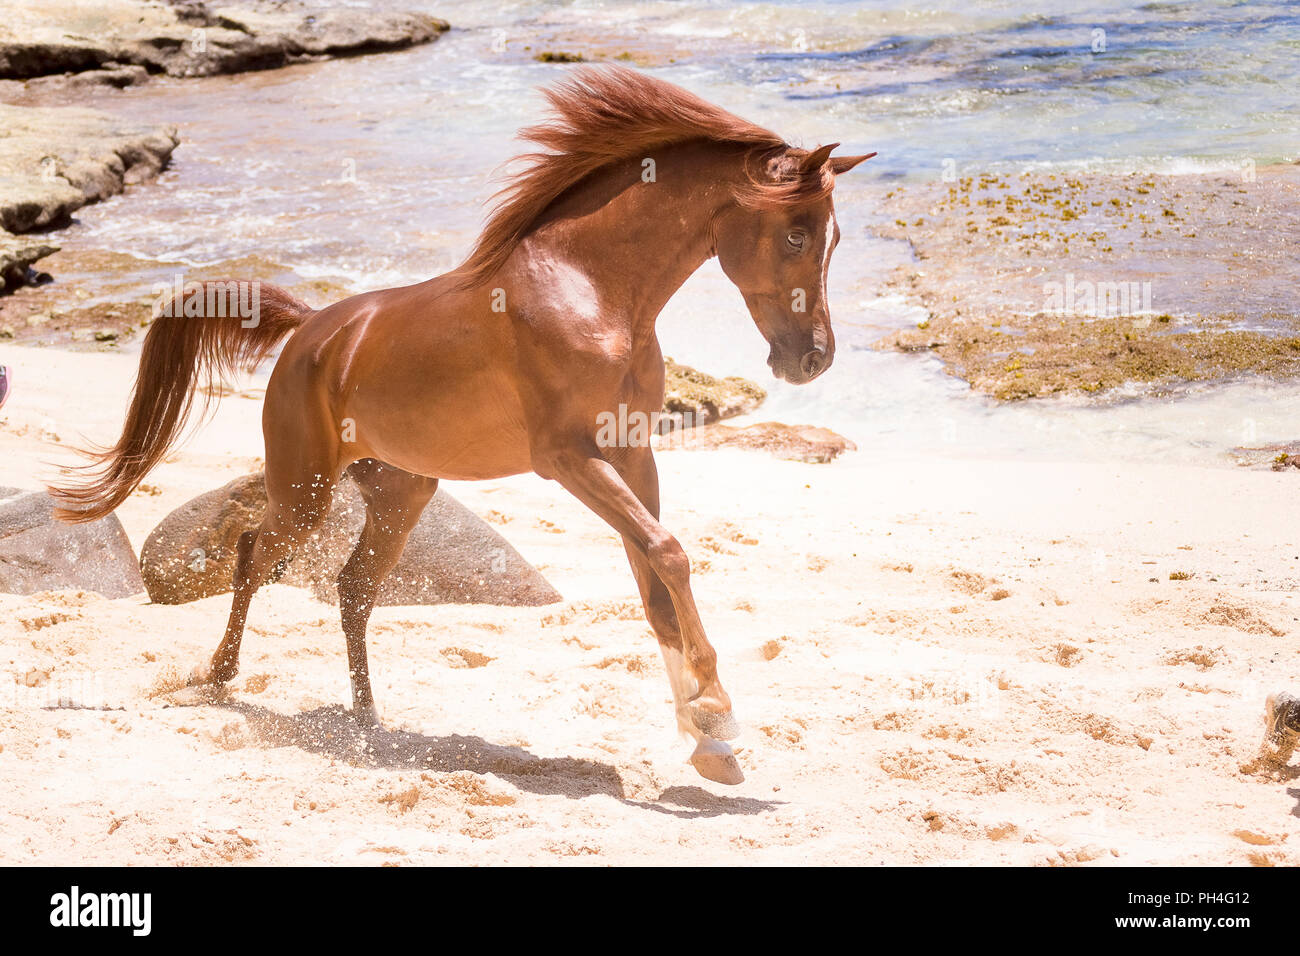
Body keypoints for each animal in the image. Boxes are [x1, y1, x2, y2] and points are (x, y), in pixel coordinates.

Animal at [50, 66, 874, 785]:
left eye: (831, 241)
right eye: (797, 236)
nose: (812, 359)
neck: (591, 292)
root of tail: (313, 328)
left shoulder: (633, 454)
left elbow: (653, 580)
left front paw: (706, 743)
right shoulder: (569, 459)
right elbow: (669, 555)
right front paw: (717, 716)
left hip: (401, 493)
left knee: (352, 588)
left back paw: (368, 724)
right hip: (306, 487)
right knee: (256, 554)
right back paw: (219, 681)